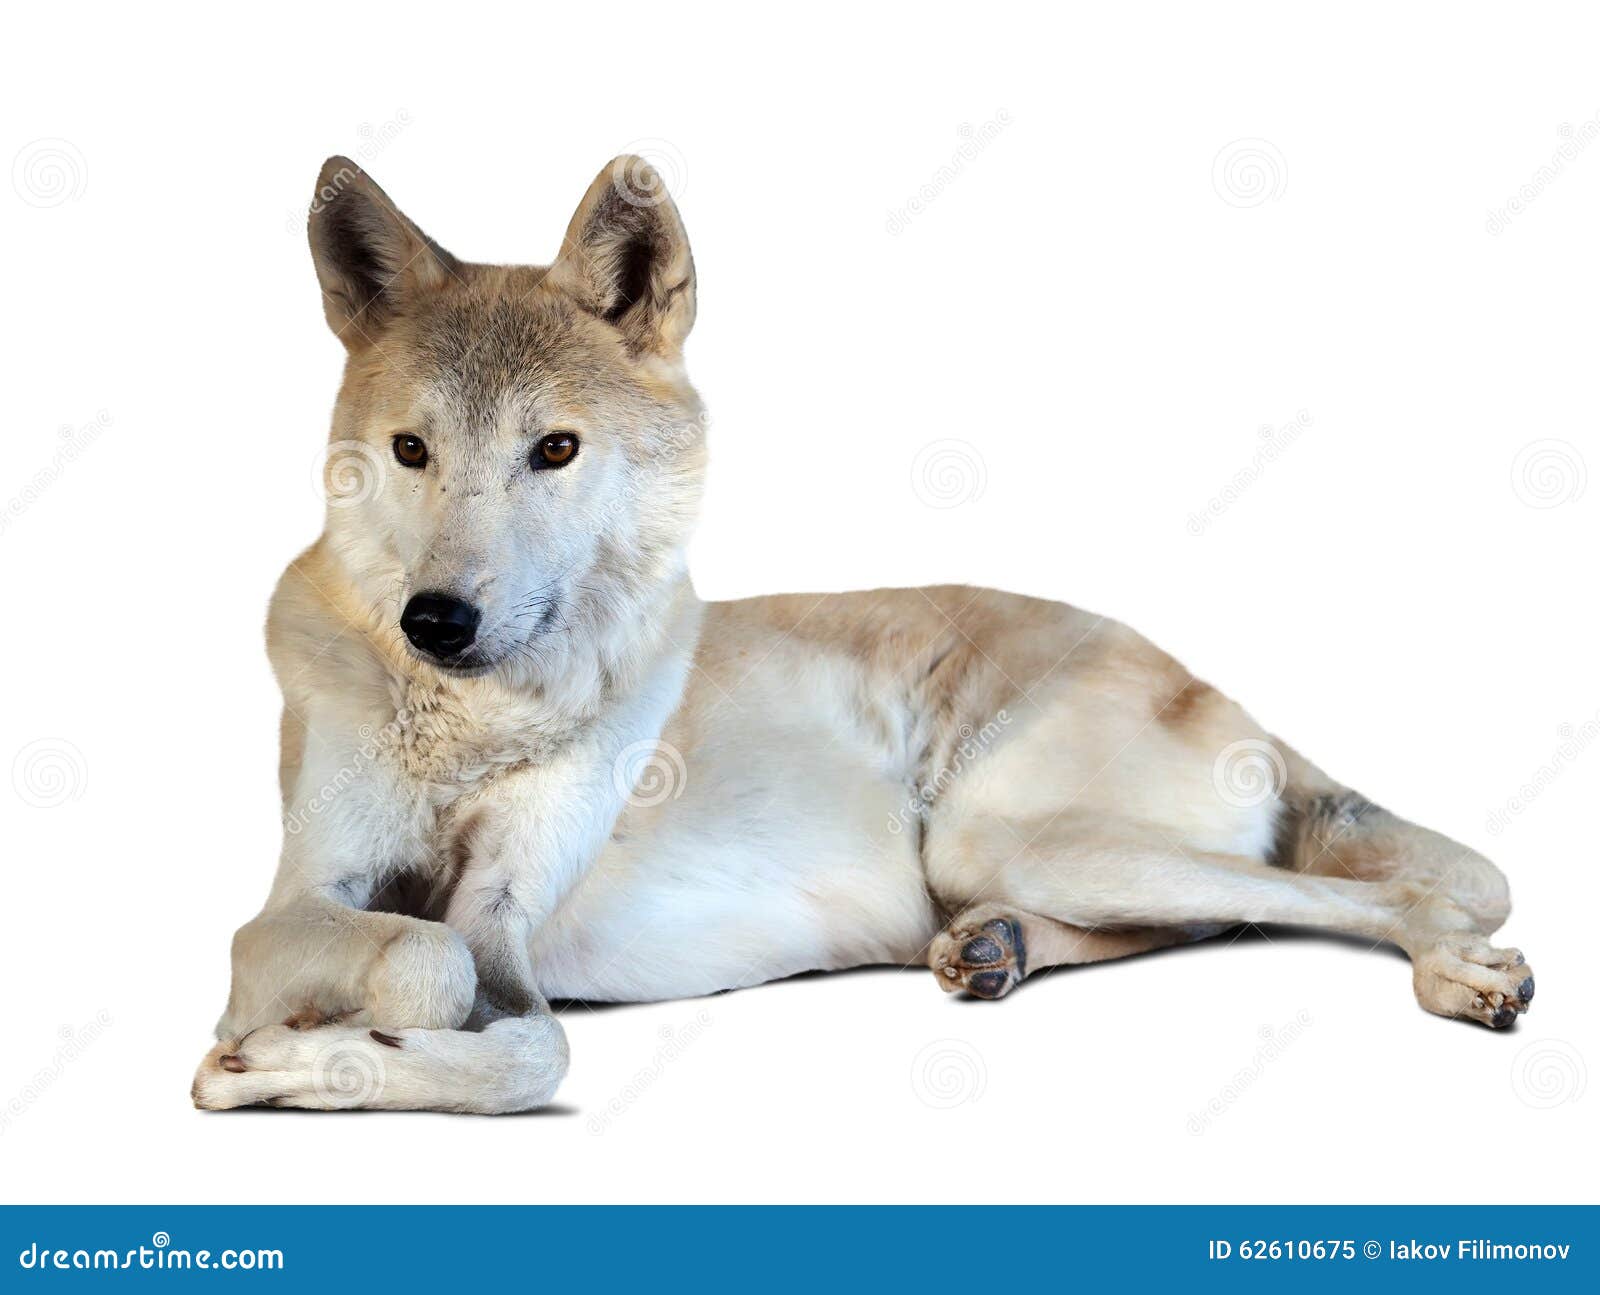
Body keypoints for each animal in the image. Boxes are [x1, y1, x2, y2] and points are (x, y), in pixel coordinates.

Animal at [191, 155, 1533, 1112]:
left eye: (555, 448)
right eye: (412, 449)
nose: (437, 620)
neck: (475, 722)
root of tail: (1208, 679)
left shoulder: (504, 917)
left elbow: (494, 1013)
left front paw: (282, 1057)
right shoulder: (296, 896)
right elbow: (431, 964)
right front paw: (302, 1038)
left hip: (1009, 831)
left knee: (1380, 895)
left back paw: (1456, 967)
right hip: (1006, 857)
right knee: (1215, 913)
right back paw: (993, 949)